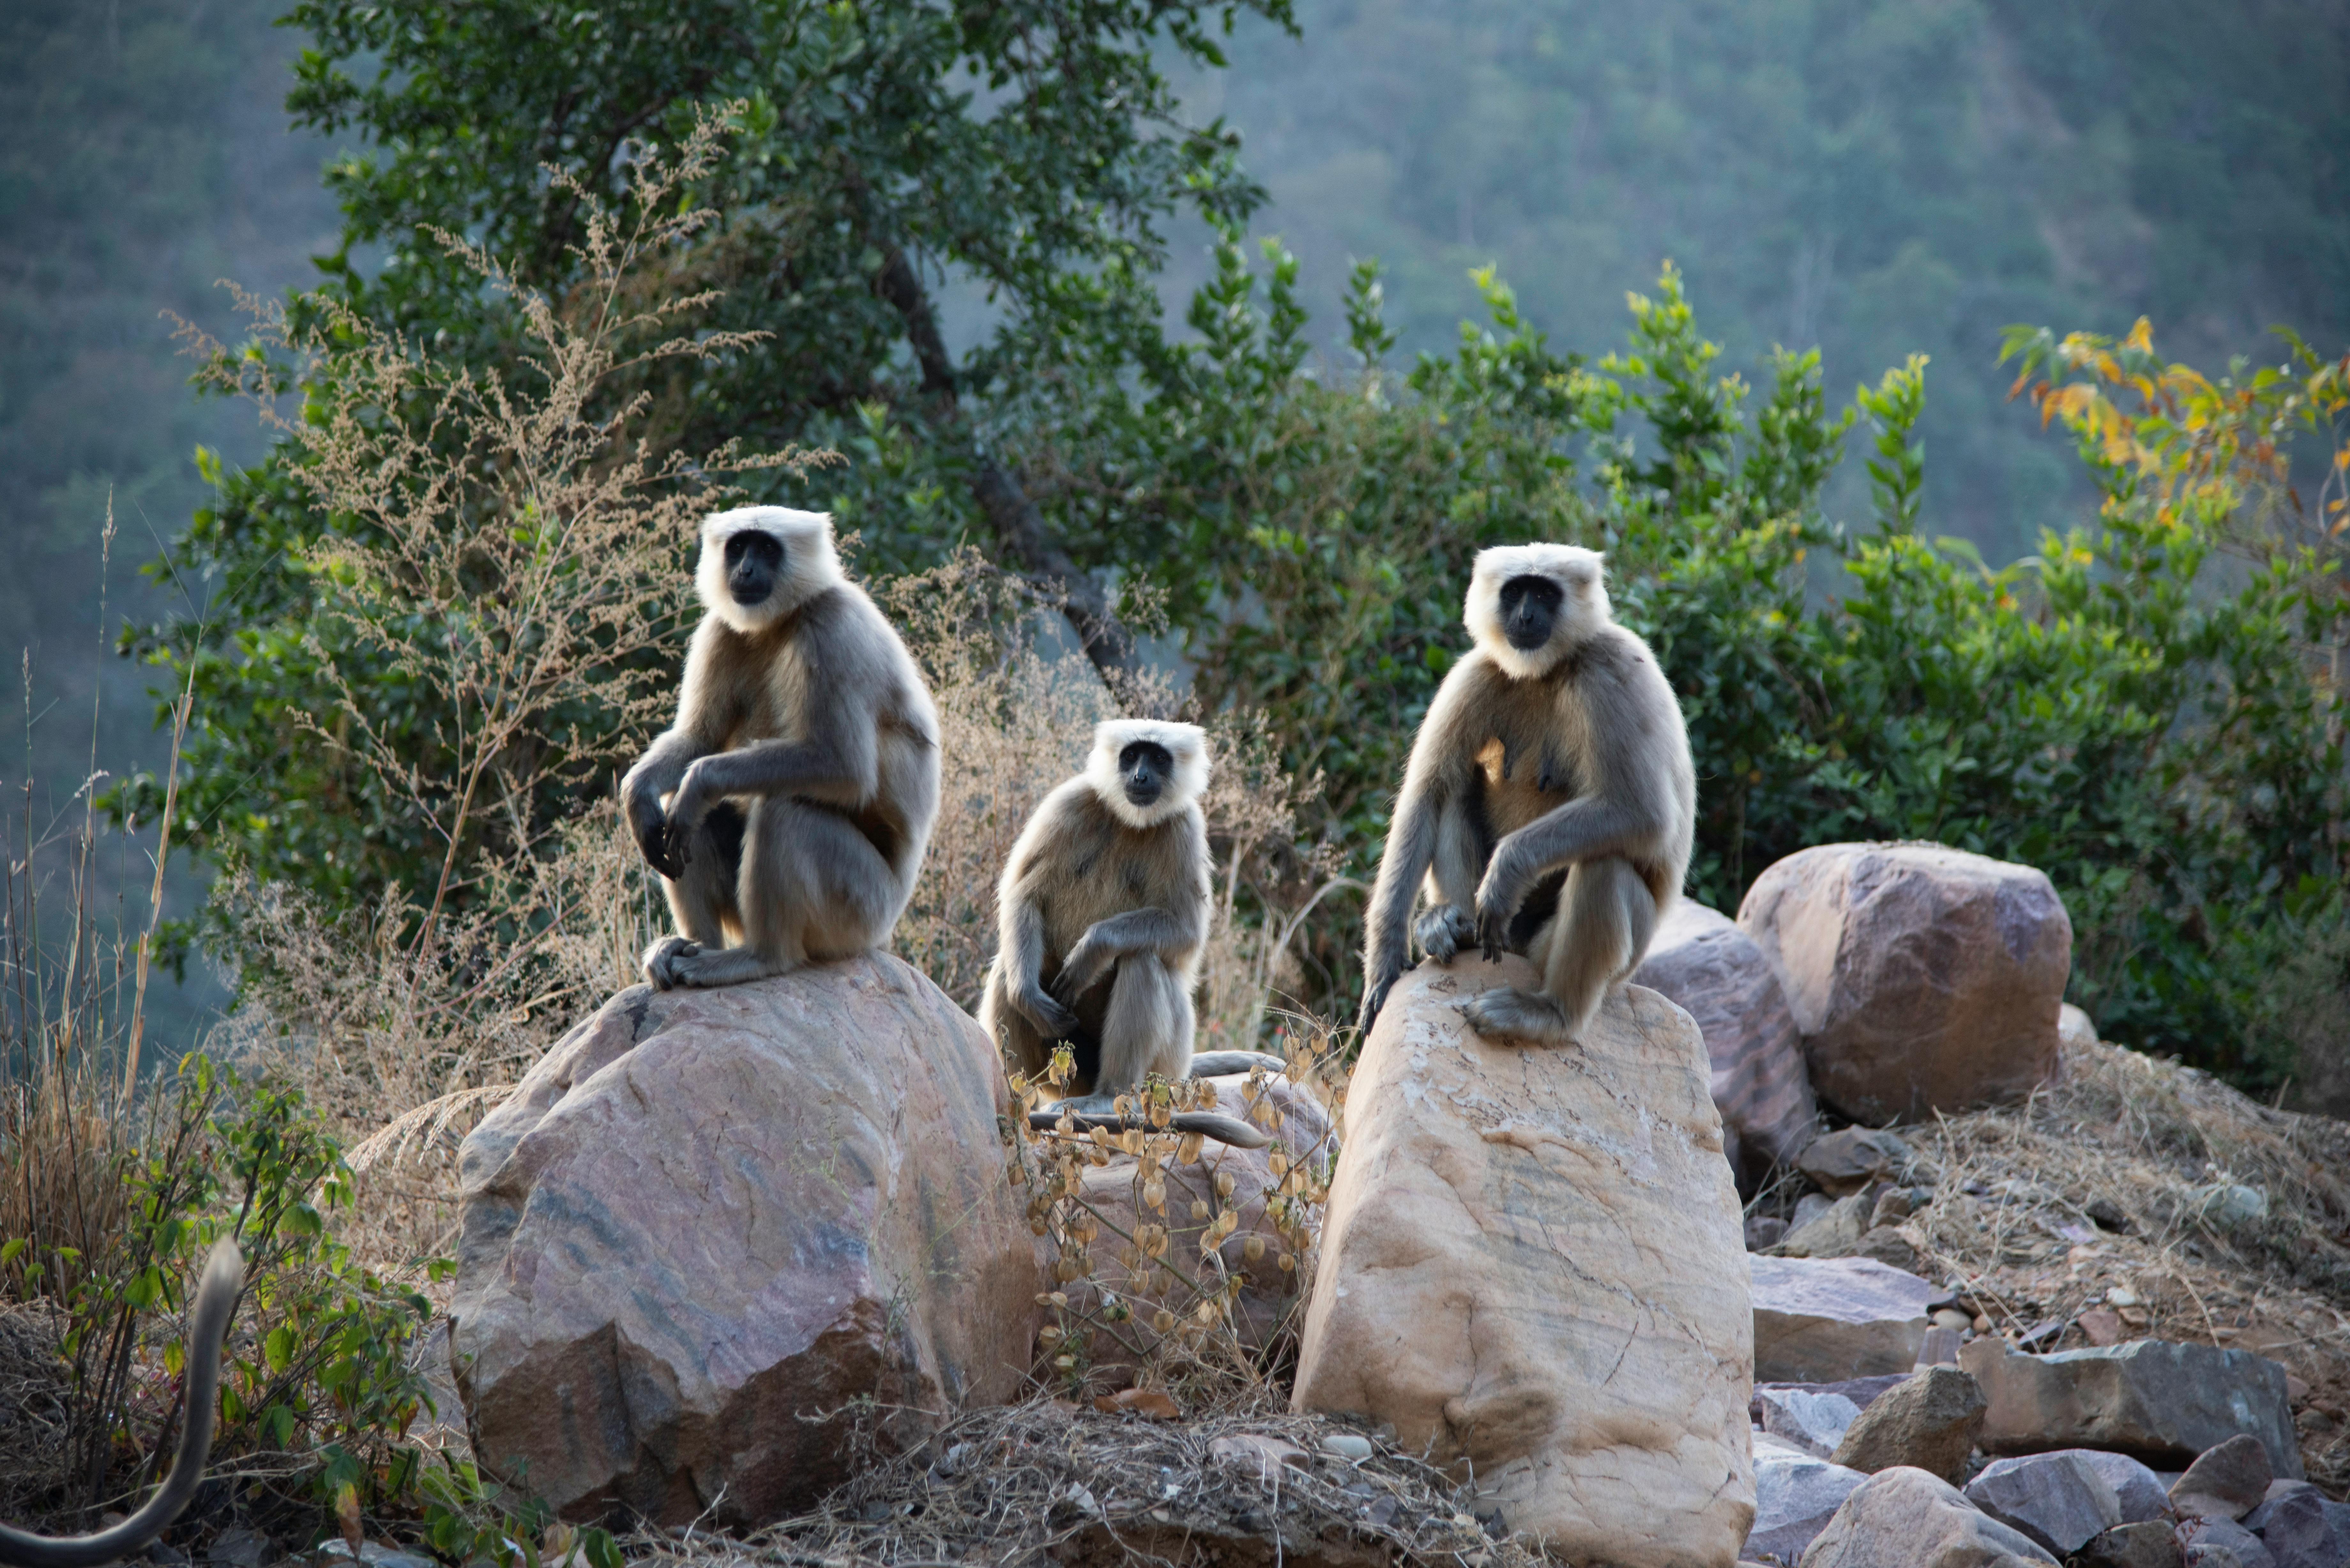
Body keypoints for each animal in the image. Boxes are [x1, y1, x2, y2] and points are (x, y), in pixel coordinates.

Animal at [622, 507, 940, 990]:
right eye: (739, 547)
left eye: (767, 549)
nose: (745, 571)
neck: (780, 622)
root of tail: (885, 933)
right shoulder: (720, 629)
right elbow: (698, 741)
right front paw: (638, 794)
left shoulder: (832, 628)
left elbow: (843, 768)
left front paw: (700, 781)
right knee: (694, 818)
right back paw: (694, 945)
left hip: (860, 911)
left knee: (782, 810)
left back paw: (761, 958)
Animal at [978, 719, 1276, 1149]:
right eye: (1132, 755)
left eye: (1158, 758)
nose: (1140, 777)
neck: (1129, 820)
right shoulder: (1069, 801)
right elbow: (1025, 896)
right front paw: (1028, 994)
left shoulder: (1185, 826)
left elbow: (1186, 932)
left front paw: (1092, 949)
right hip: (1063, 1069)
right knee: (1011, 970)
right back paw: (1018, 1098)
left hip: (1165, 1068)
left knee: (1141, 957)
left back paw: (1107, 1097)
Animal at [1358, 542, 1695, 1047]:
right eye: (1516, 591)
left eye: (1544, 593)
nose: (1526, 616)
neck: (1546, 673)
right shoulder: (1475, 672)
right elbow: (1427, 796)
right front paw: (1384, 965)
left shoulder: (1611, 668)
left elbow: (1645, 815)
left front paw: (1507, 871)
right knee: (1453, 788)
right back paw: (1452, 927)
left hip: (1601, 960)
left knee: (1606, 863)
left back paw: (1552, 1013)